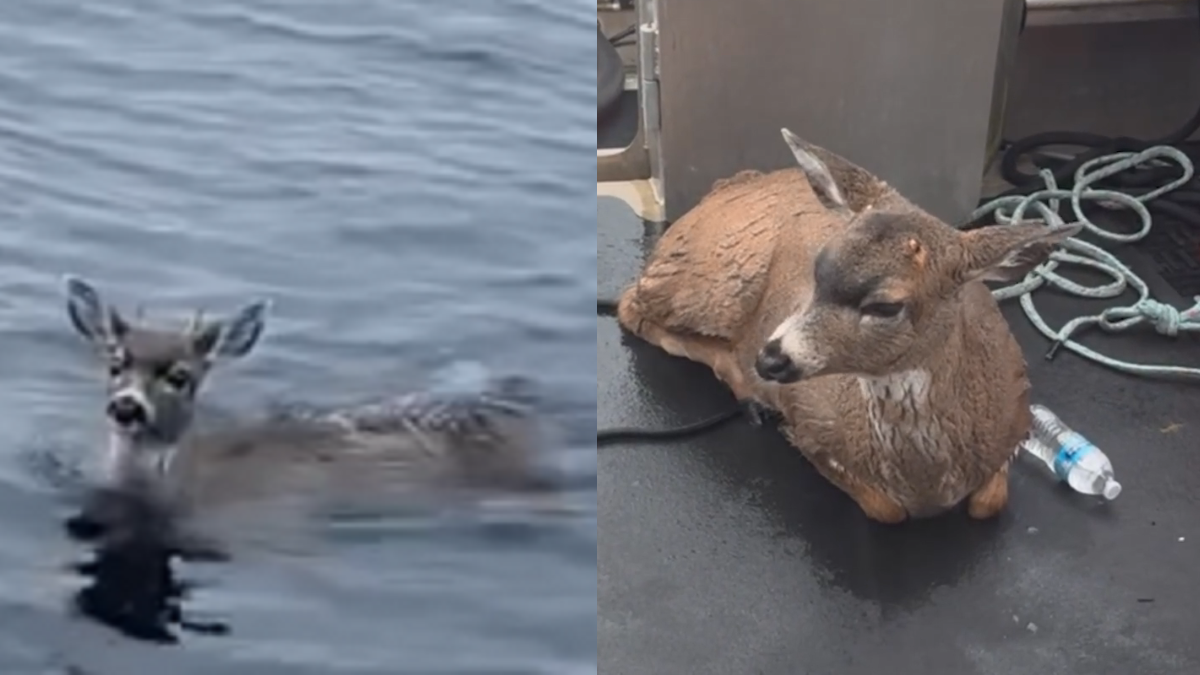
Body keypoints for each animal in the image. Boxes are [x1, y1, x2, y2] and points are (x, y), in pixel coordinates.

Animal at [616, 128, 1081, 524]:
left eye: (885, 306)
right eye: (818, 268)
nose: (770, 359)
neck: (927, 484)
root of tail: (728, 185)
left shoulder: (1015, 418)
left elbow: (989, 503)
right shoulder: (810, 422)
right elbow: (885, 510)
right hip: (705, 280)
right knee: (630, 305)